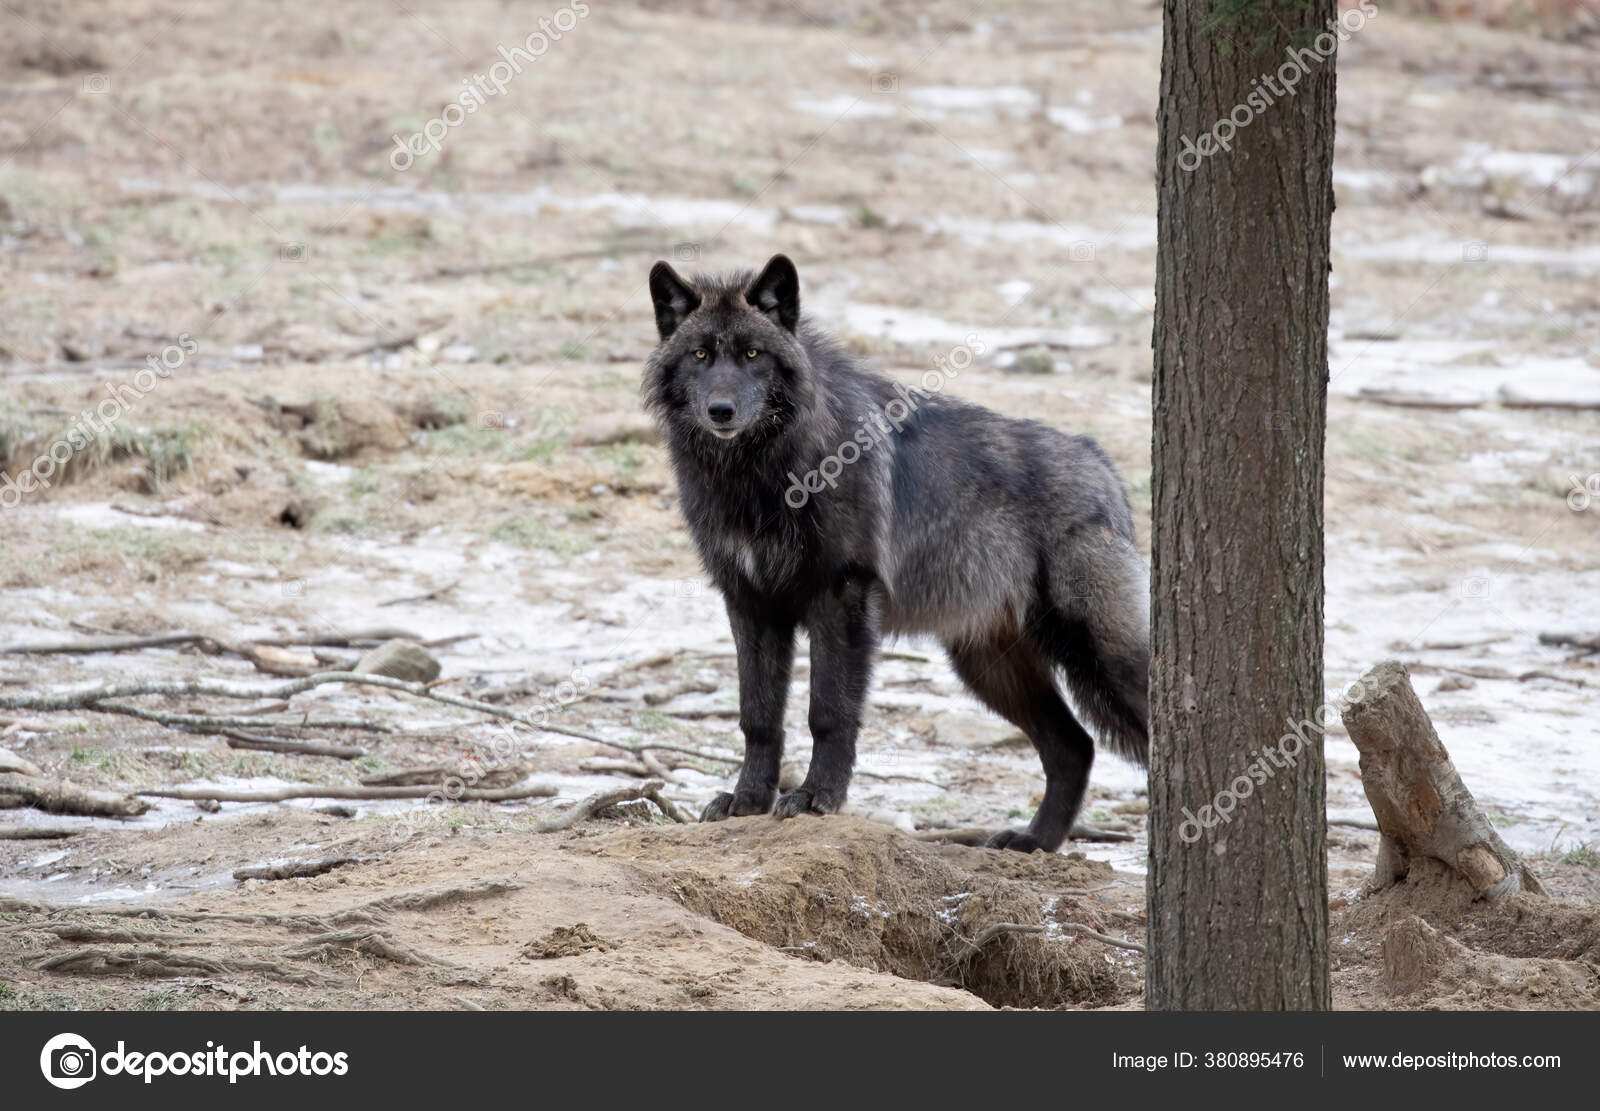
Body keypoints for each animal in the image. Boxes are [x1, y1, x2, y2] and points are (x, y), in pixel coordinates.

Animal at [643, 254, 1149, 852]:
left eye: (751, 354)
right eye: (700, 355)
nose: (721, 410)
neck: (760, 474)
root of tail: (1101, 463)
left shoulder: (840, 597)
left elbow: (828, 713)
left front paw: (817, 798)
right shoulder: (750, 604)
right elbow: (758, 717)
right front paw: (747, 801)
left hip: (1098, 655)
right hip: (988, 670)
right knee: (1075, 747)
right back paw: (1033, 844)